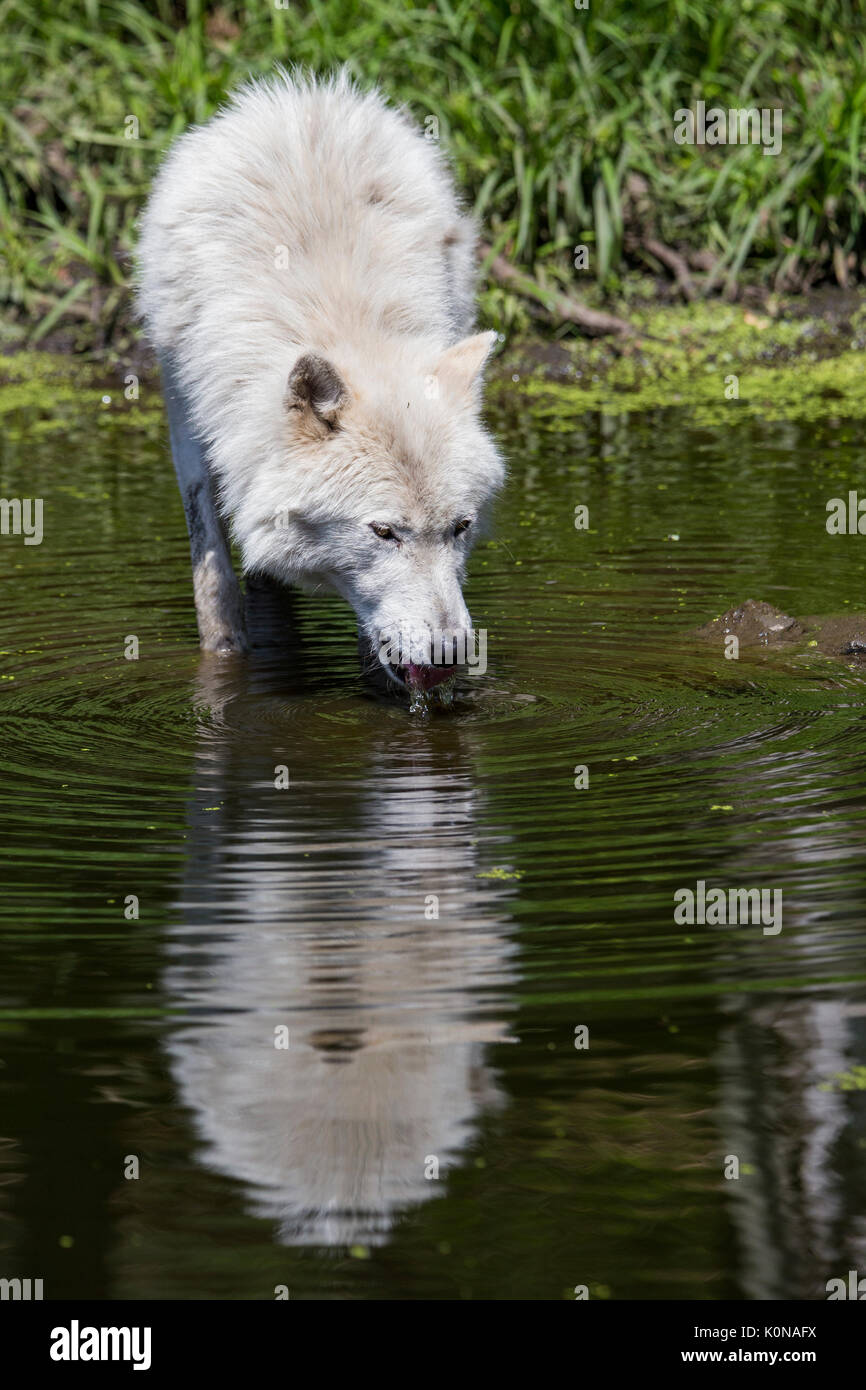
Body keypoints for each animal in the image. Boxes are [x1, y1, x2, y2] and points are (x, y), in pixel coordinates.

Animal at [136, 69, 504, 693]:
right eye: (383, 532)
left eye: (461, 527)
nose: (450, 652)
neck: (343, 318)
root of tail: (308, 91)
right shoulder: (187, 412)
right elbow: (213, 572)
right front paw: (226, 657)